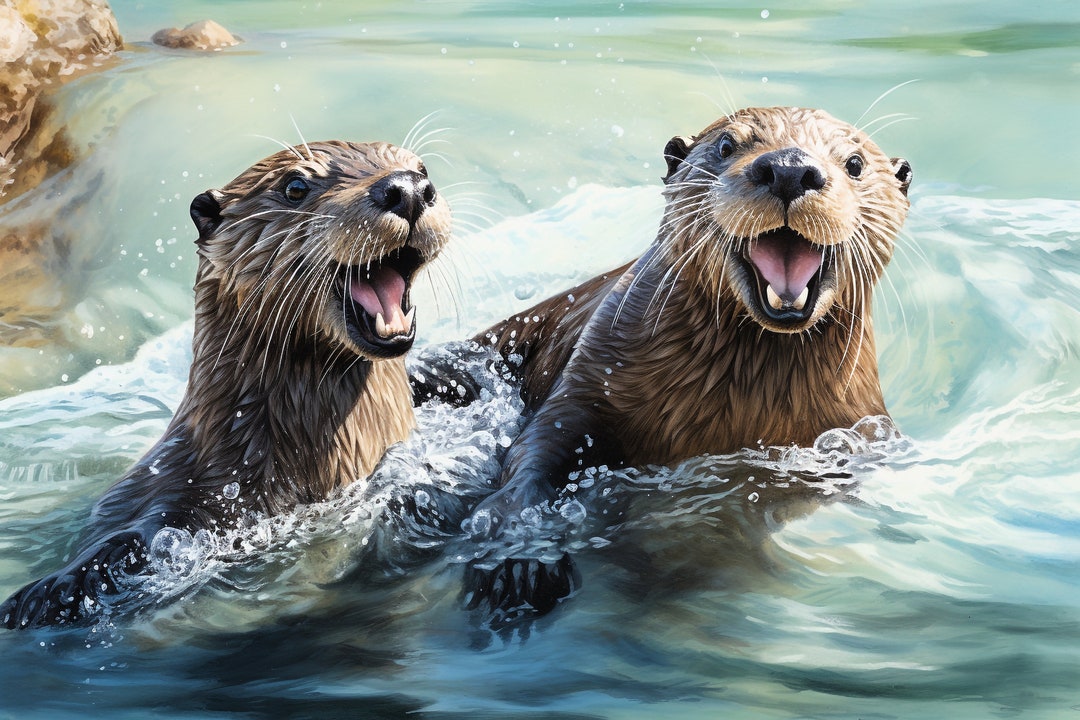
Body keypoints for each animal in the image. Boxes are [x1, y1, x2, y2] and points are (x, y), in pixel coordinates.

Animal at [463, 107, 913, 621]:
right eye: (725, 146)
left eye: (855, 162)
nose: (789, 168)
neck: (737, 402)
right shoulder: (591, 374)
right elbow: (538, 448)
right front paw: (518, 558)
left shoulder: (854, 427)